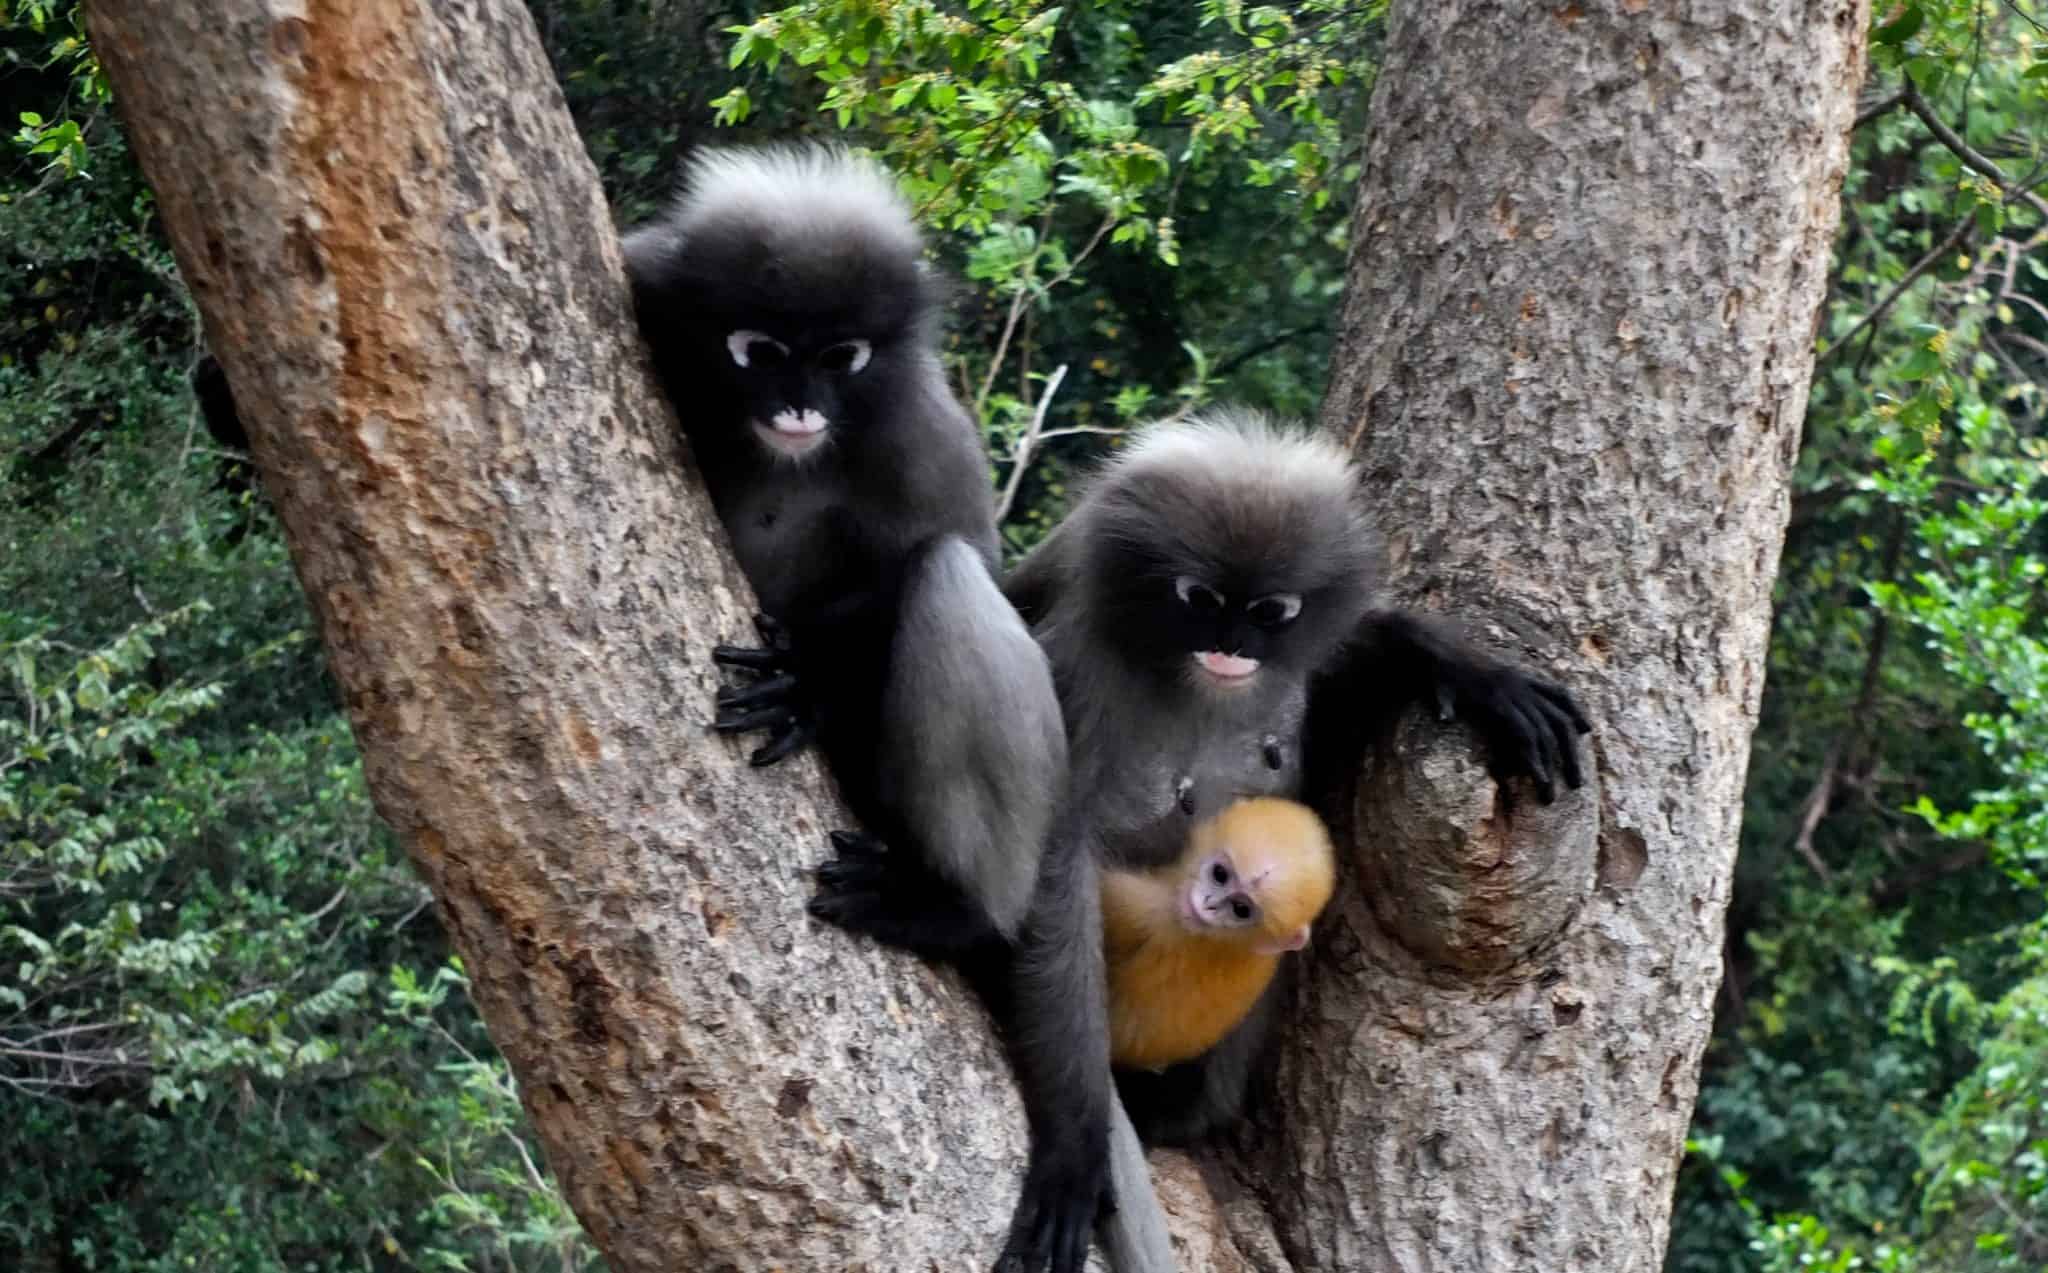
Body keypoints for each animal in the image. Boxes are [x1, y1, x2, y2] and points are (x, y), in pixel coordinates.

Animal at [620, 145, 1171, 1273]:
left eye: (842, 357)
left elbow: (955, 561)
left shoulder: (923, 425)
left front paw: (812, 683)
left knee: (946, 577)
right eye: (758, 350)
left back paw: (950, 907)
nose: (798, 410)